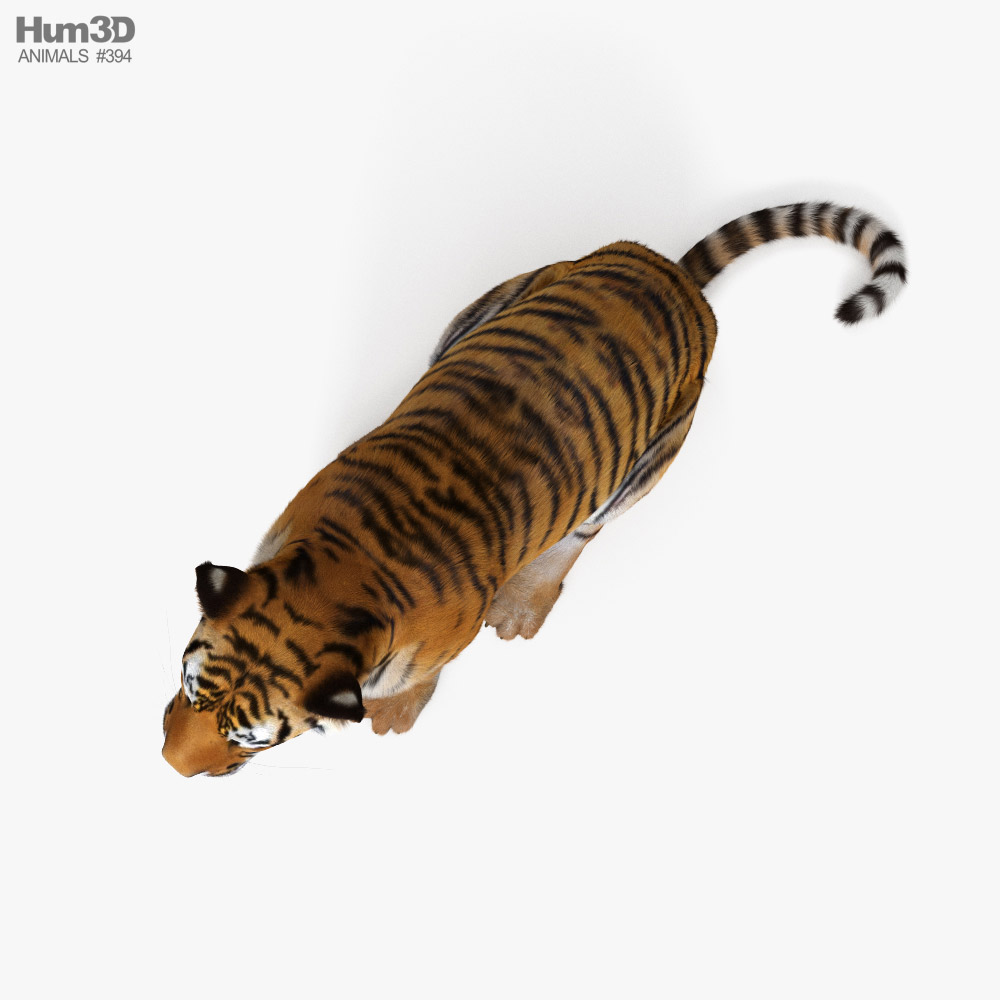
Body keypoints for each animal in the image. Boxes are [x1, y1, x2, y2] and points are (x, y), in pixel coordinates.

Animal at [162, 200, 907, 777]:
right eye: (190, 689)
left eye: (251, 738)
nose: (169, 766)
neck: (344, 572)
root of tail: (675, 274)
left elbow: (417, 682)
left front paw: (394, 714)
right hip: (503, 294)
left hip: (651, 459)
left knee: (582, 533)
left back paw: (524, 605)